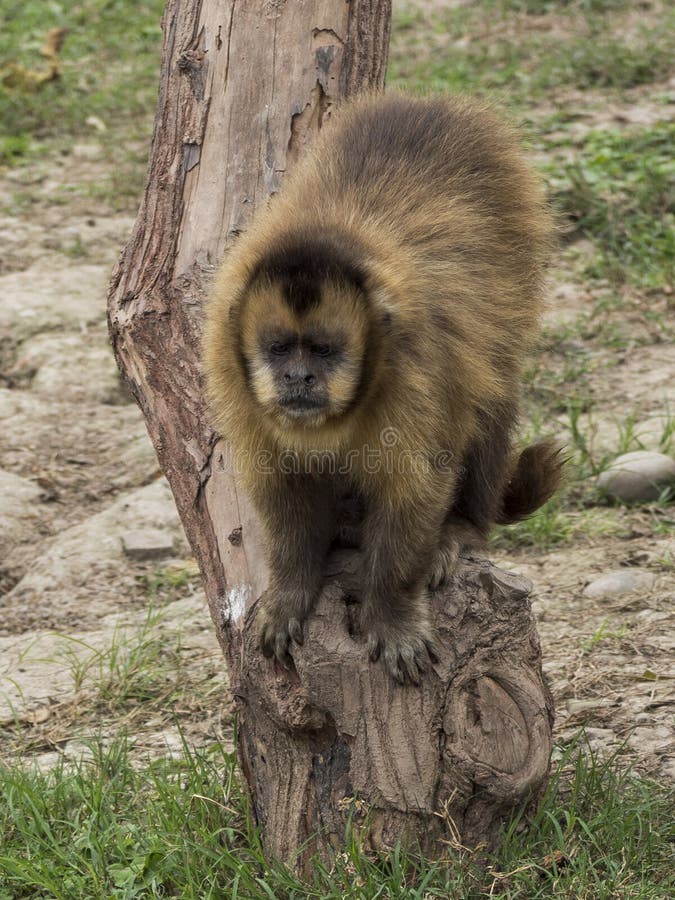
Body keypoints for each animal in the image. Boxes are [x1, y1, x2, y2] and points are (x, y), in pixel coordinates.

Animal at [203, 92, 563, 684]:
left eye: (323, 351)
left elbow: (413, 489)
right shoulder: (227, 368)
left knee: (488, 394)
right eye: (279, 349)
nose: (297, 378)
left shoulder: (412, 366)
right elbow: (281, 485)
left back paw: (460, 529)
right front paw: (289, 592)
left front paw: (391, 615)